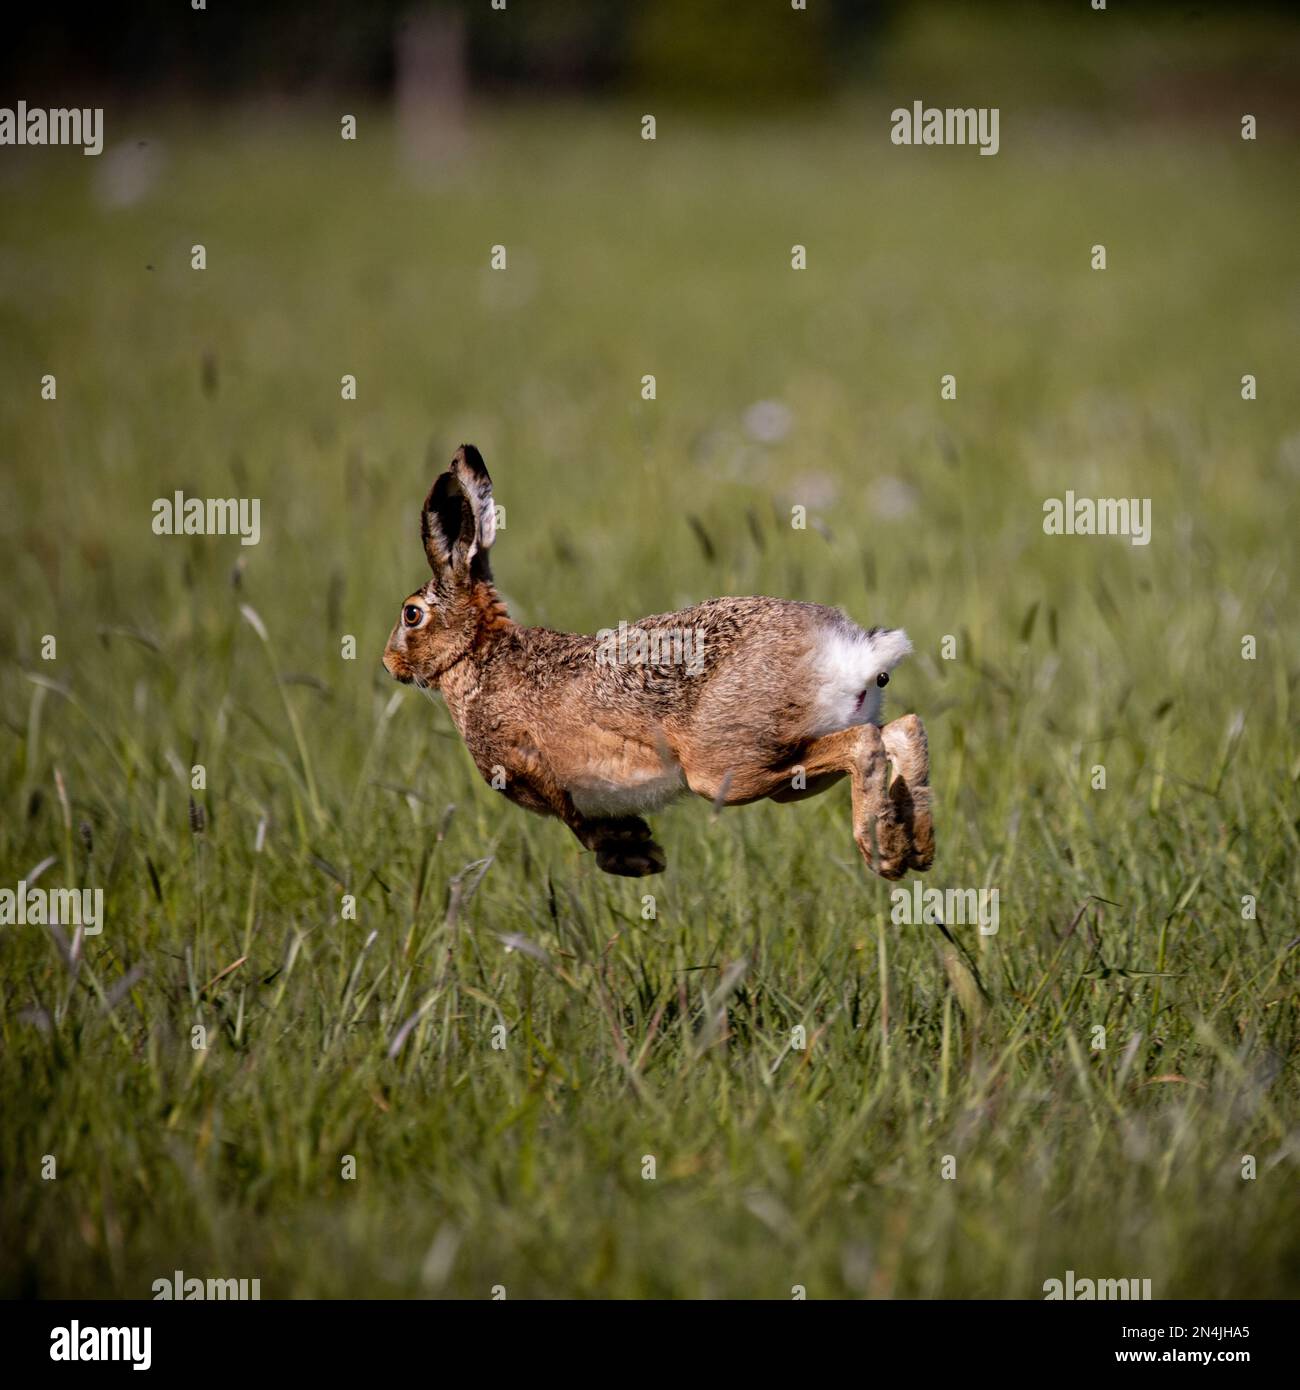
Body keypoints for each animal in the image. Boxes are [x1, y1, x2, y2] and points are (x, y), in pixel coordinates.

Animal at [383, 445, 935, 880]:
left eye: (411, 614)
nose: (389, 664)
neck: (479, 654)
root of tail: (847, 650)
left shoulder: (536, 767)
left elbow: (578, 821)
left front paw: (636, 857)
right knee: (900, 730)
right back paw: (918, 846)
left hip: (727, 769)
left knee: (864, 745)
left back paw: (883, 852)